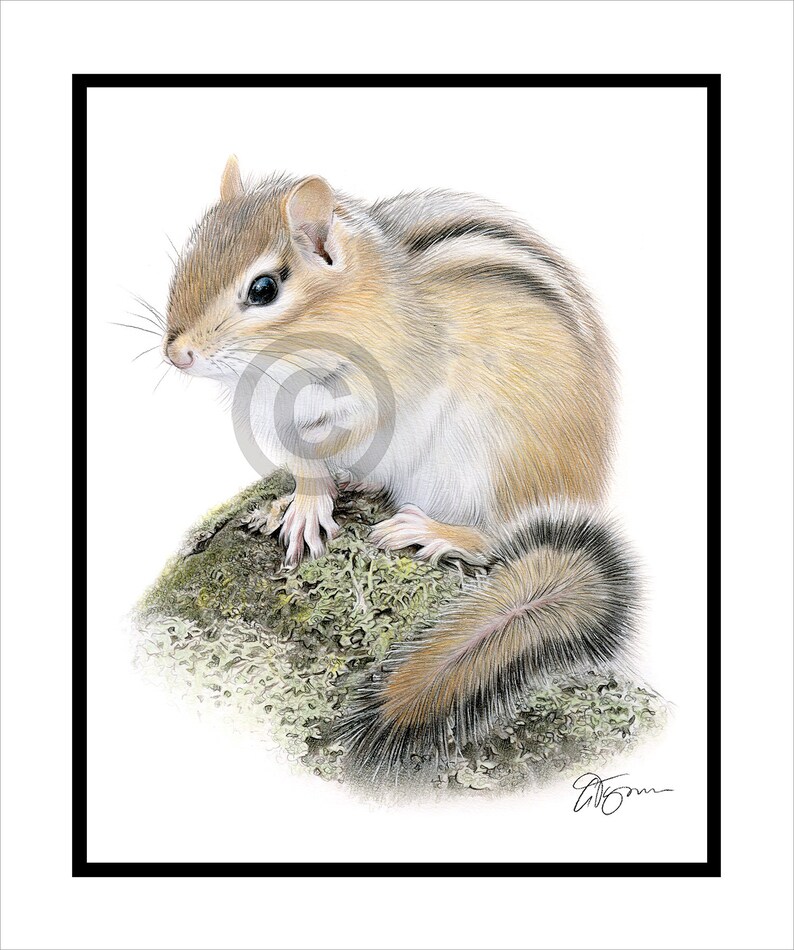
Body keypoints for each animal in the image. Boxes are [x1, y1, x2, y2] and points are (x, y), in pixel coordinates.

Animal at [163, 156, 639, 774]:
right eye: (188, 255)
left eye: (263, 289)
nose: (177, 354)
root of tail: (585, 489)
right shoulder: (271, 414)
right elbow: (306, 466)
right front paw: (298, 503)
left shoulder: (389, 387)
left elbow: (356, 428)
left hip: (500, 461)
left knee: (496, 535)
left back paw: (435, 531)